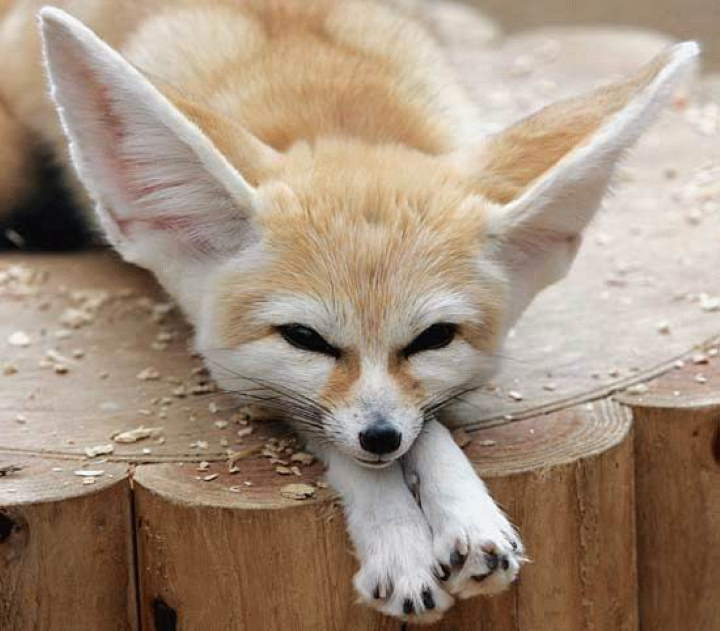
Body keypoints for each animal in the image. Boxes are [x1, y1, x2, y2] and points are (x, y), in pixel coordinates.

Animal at [0, 0, 698, 623]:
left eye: (433, 338)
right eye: (305, 338)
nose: (379, 436)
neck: (333, 99)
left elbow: (429, 426)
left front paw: (466, 514)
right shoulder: (247, 380)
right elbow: (325, 428)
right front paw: (399, 544)